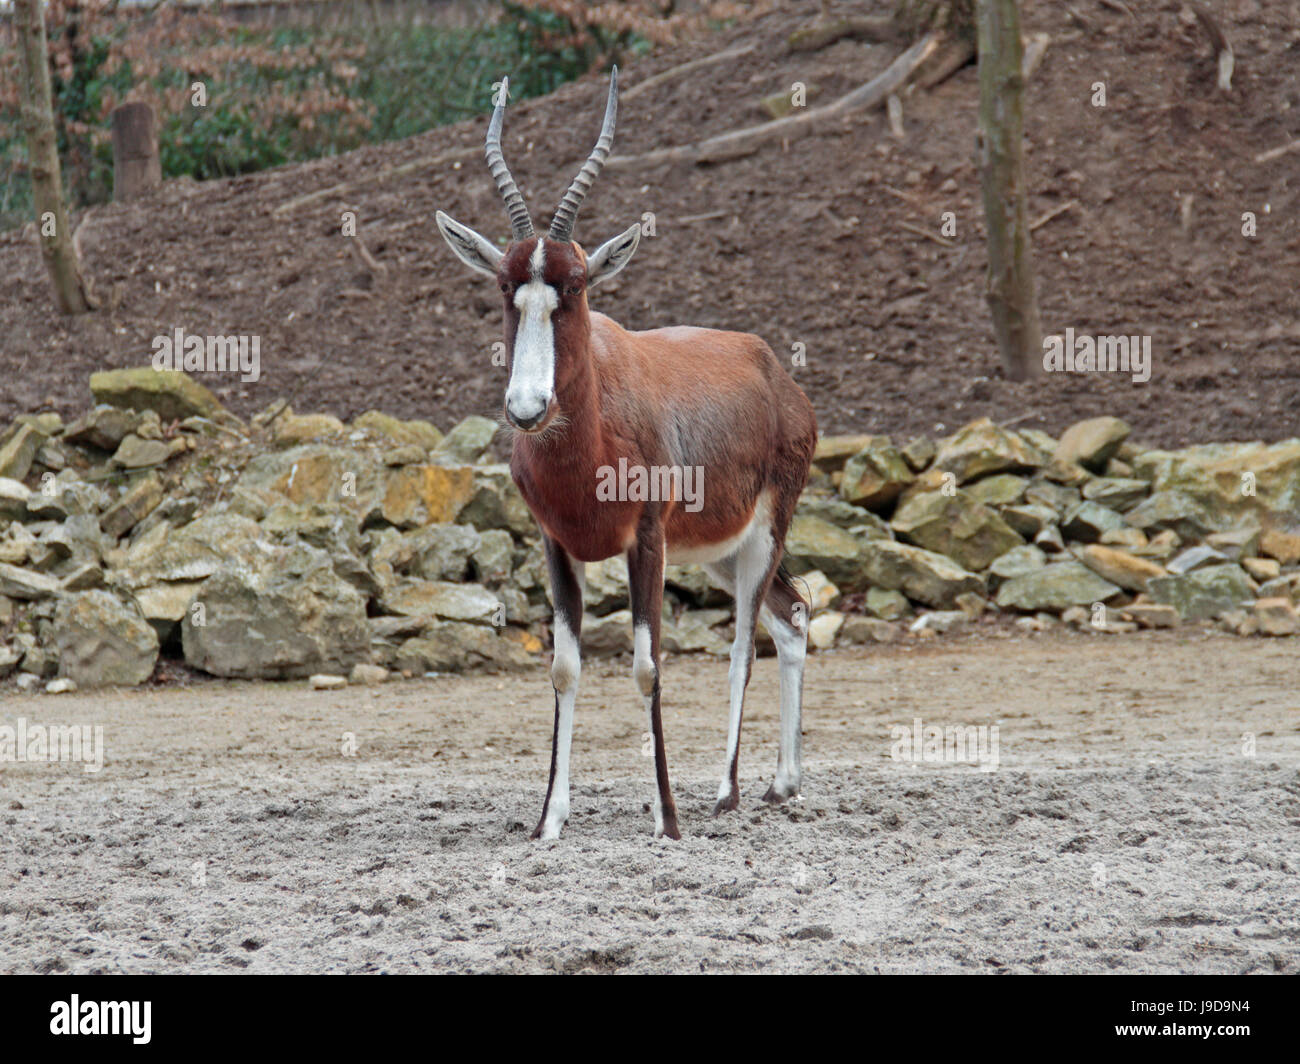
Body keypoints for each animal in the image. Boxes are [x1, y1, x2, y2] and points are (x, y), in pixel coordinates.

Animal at [435, 69, 817, 840]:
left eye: (577, 285)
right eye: (506, 287)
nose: (527, 407)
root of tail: (773, 371)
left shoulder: (644, 541)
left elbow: (647, 666)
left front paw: (666, 821)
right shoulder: (556, 545)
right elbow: (564, 668)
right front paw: (548, 823)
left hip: (761, 533)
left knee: (744, 646)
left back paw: (725, 793)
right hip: (722, 553)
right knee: (791, 617)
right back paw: (781, 784)